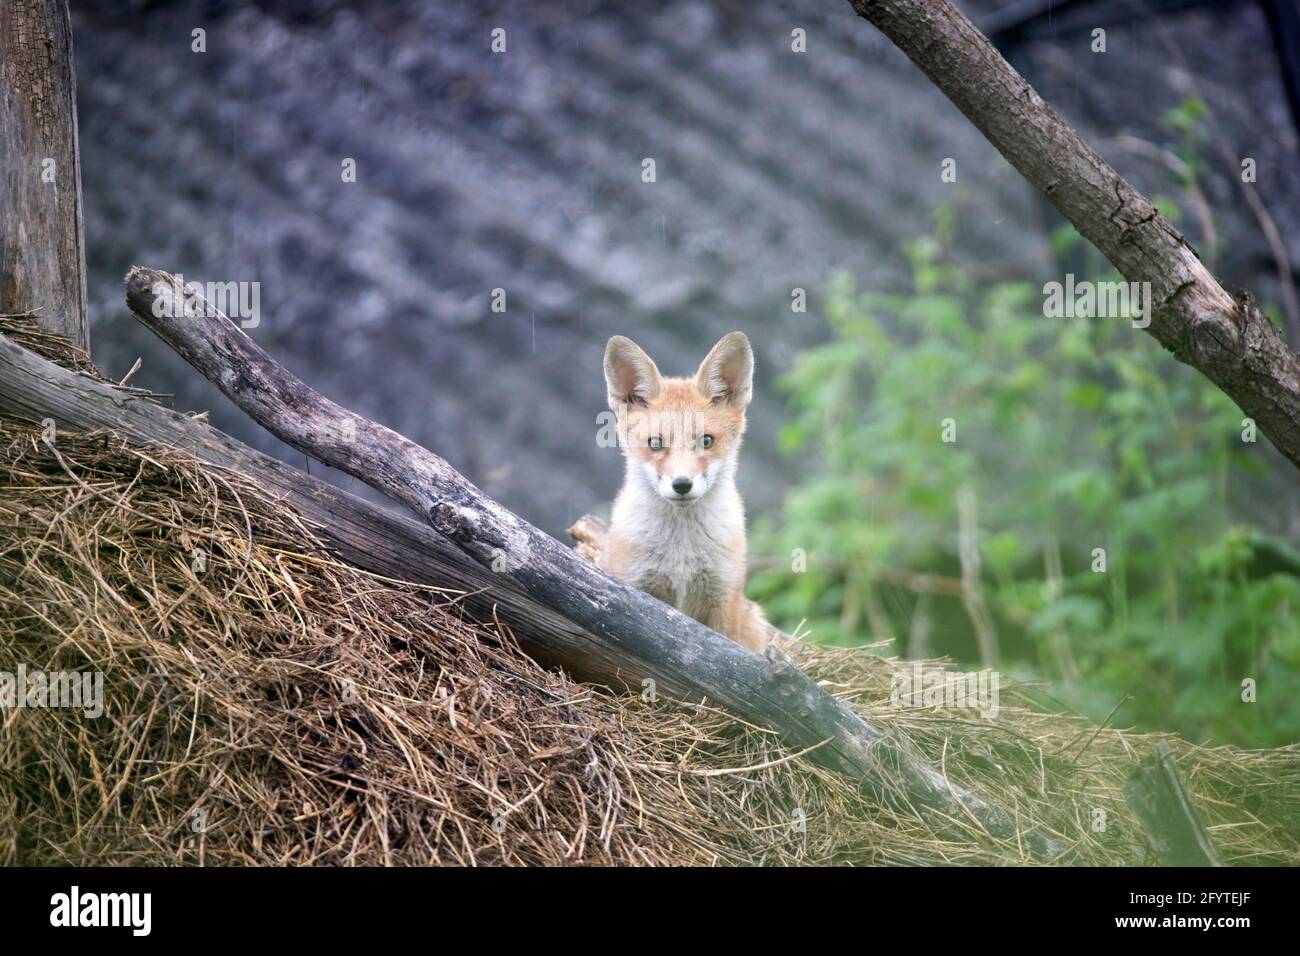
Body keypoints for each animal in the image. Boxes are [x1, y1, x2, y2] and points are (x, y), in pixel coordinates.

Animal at [596, 331, 771, 654]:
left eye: (706, 440)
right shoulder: (633, 585)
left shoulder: (723, 598)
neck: (681, 552)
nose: (681, 484)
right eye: (655, 443)